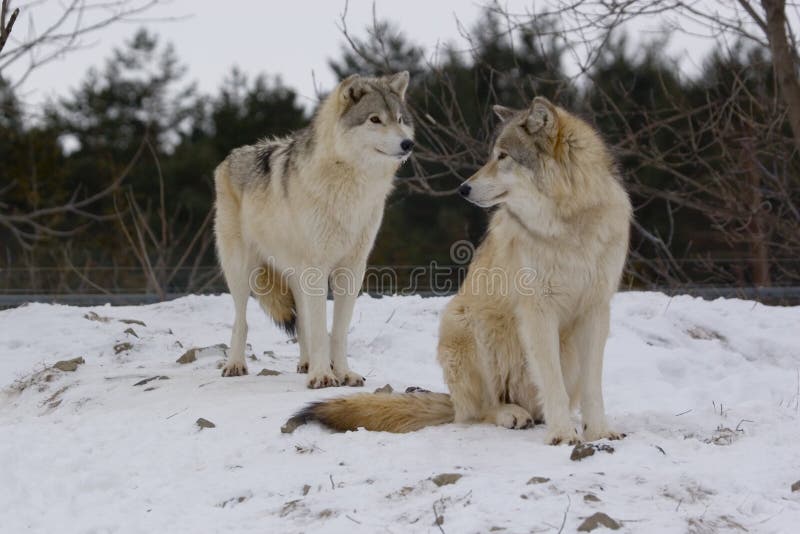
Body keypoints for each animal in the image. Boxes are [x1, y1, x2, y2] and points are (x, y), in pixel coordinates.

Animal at [214, 72, 414, 389]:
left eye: (399, 118)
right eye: (374, 119)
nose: (408, 144)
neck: (351, 184)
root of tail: (229, 157)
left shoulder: (352, 268)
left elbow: (338, 331)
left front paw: (342, 373)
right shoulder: (318, 267)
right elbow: (322, 330)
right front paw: (322, 375)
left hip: (296, 275)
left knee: (302, 322)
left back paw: (305, 363)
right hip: (242, 270)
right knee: (241, 319)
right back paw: (235, 364)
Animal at [289, 96, 632, 443]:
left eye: (502, 156)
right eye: (493, 154)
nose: (462, 189)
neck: (570, 226)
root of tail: (452, 401)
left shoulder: (596, 311)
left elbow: (593, 387)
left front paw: (599, 431)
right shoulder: (538, 312)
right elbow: (552, 383)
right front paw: (562, 435)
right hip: (469, 323)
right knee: (481, 409)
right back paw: (511, 414)